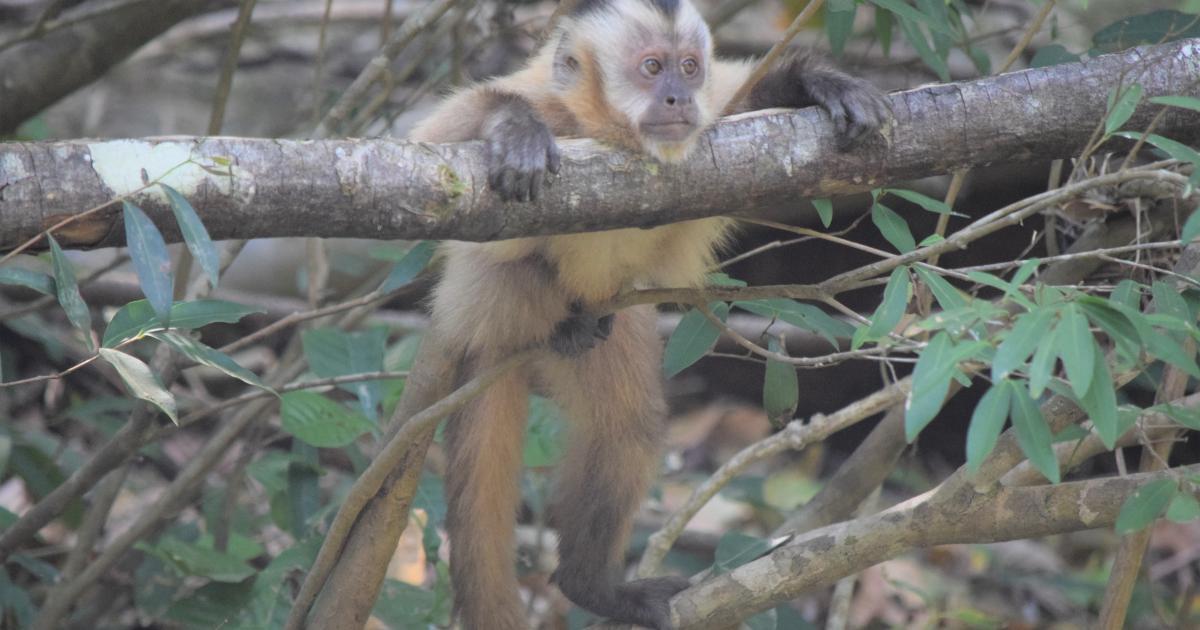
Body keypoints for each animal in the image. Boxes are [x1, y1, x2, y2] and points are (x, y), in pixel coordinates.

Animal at [406, 1, 890, 628]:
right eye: (652, 68)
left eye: (688, 67)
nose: (677, 98)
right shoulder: (551, 102)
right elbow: (435, 155)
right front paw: (512, 128)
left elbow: (743, 120)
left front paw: (815, 82)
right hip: (492, 304)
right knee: (516, 271)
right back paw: (566, 323)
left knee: (628, 426)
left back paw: (591, 587)